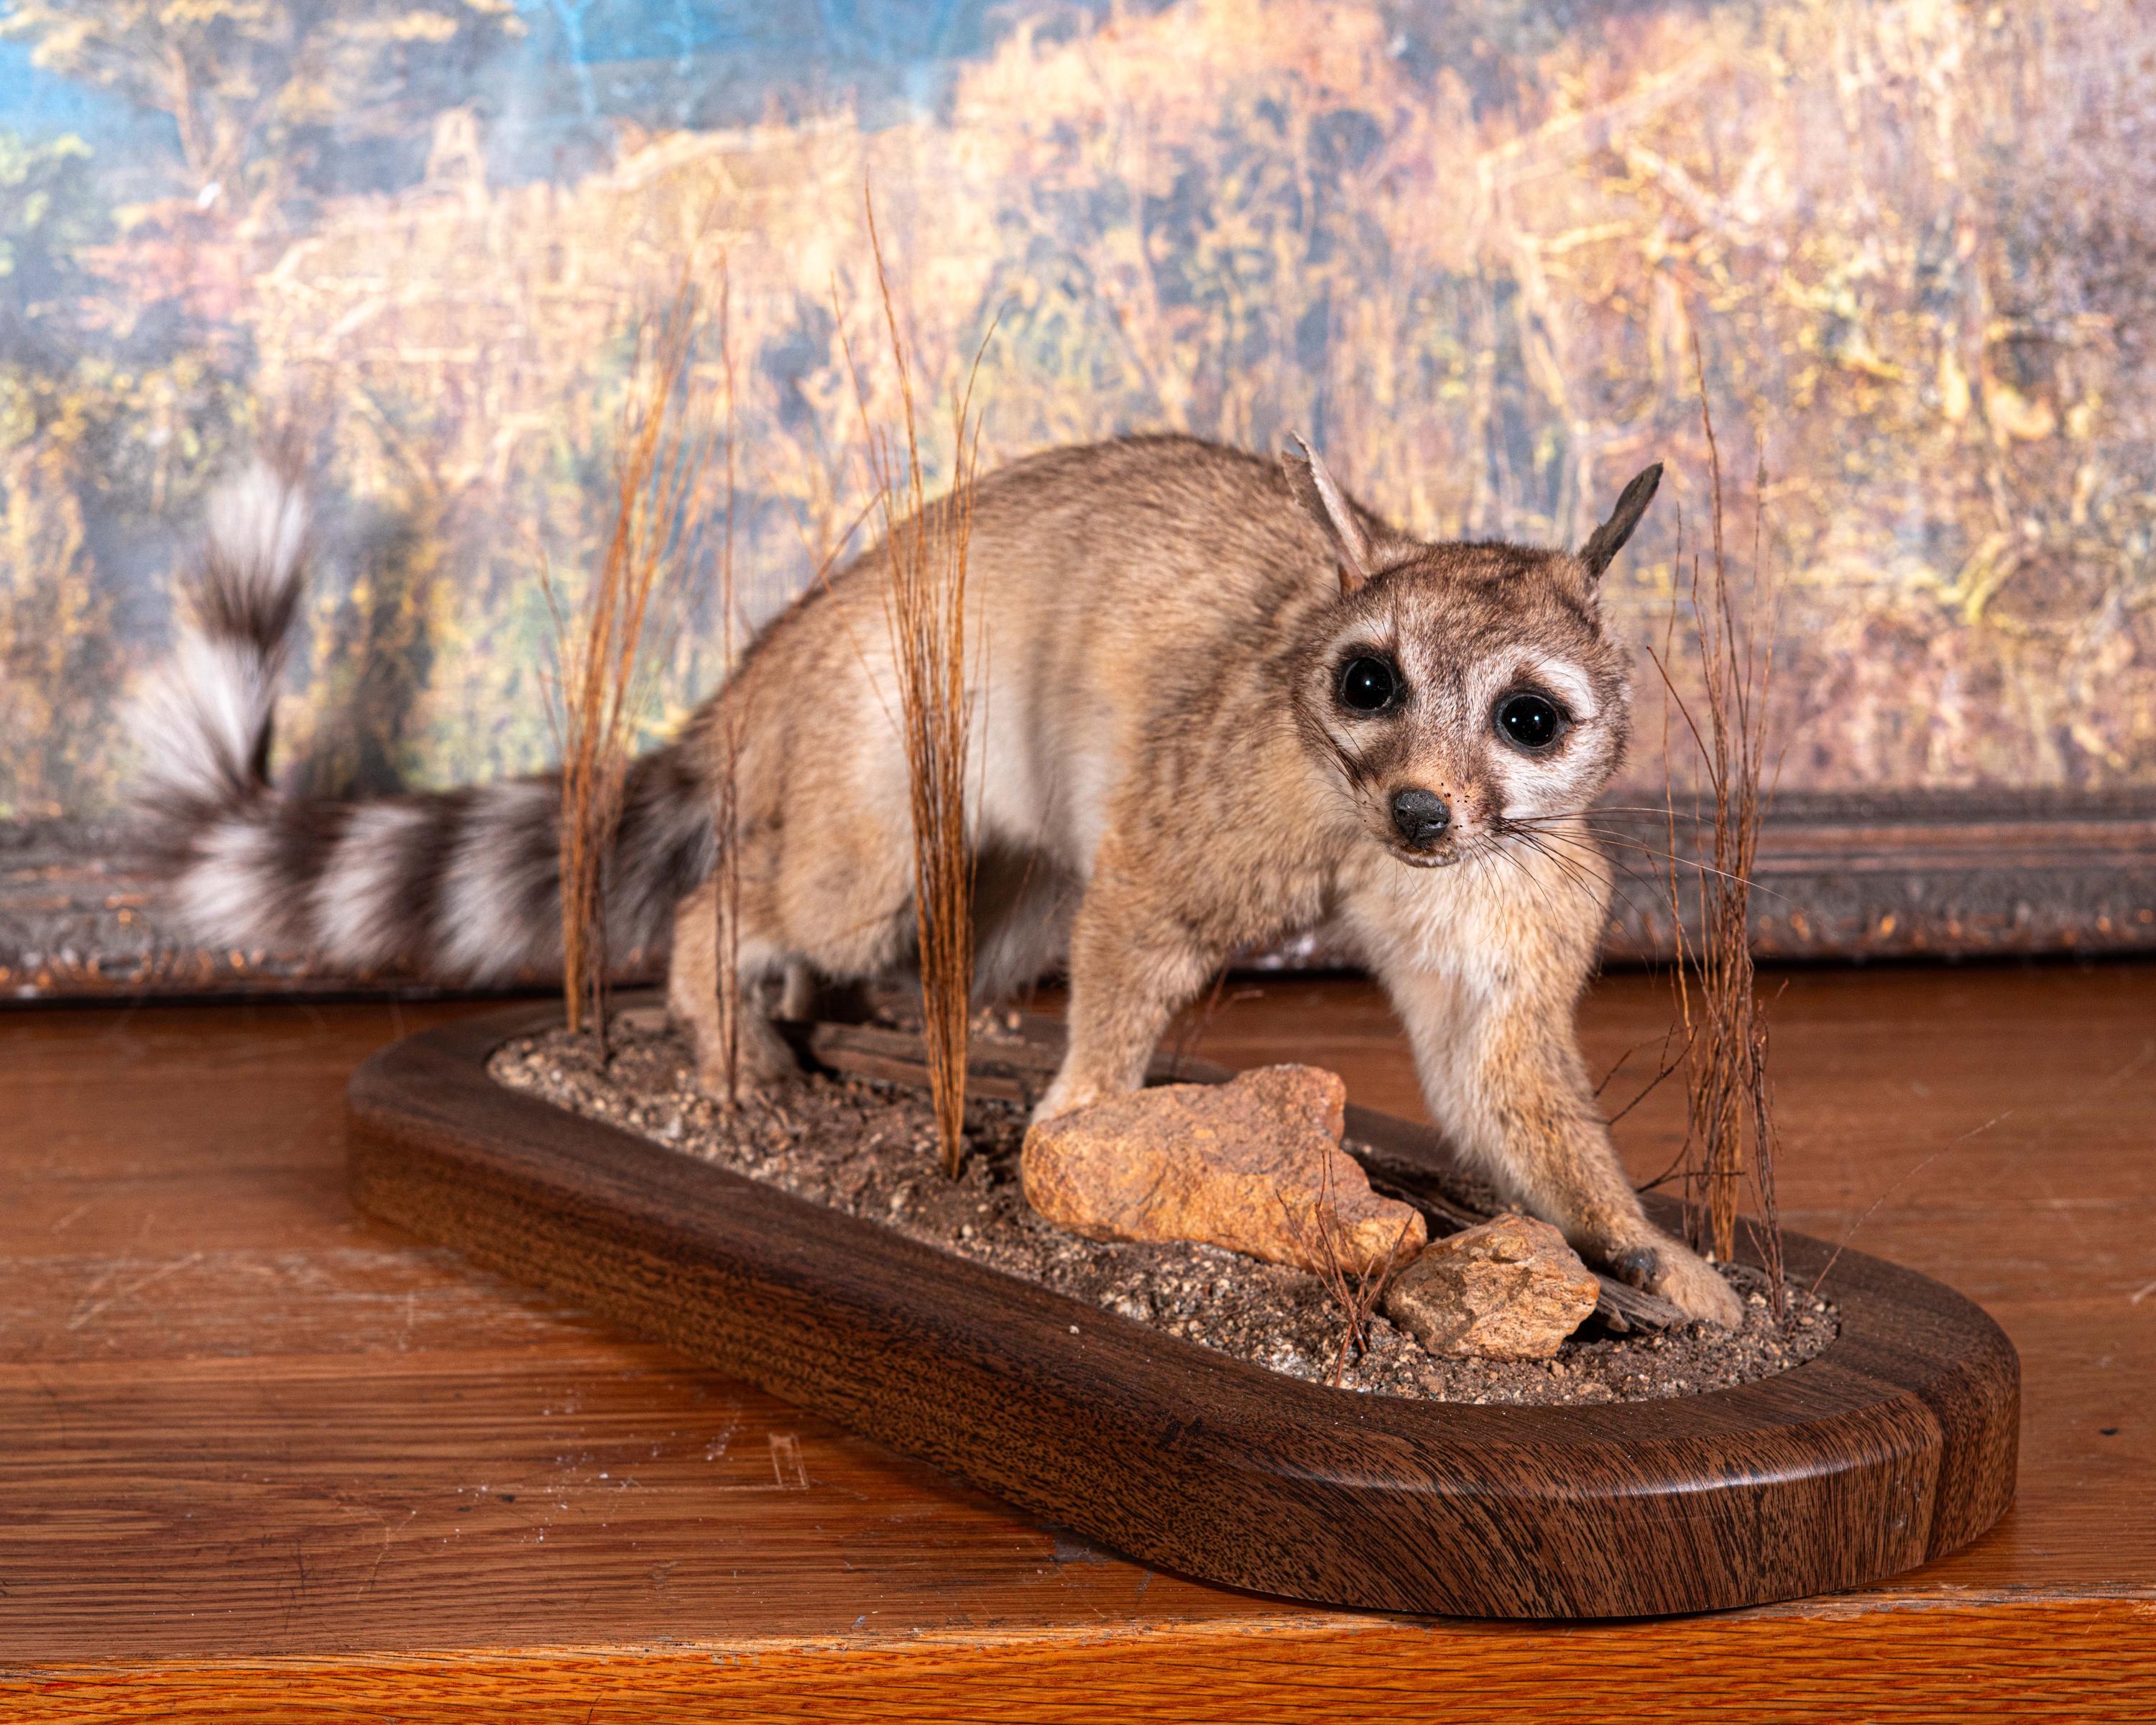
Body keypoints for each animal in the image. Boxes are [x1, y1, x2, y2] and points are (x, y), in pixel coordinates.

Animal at [133, 434, 1741, 1326]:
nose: (1414, 810)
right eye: (1367, 682)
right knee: (825, 891)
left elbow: (1498, 1066)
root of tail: (796, 628)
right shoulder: (1234, 767)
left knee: (986, 925)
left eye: (1529, 717)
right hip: (872, 718)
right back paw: (729, 977)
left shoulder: (1519, 869)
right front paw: (1093, 1103)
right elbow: (1143, 910)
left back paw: (889, 1023)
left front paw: (1631, 1242)